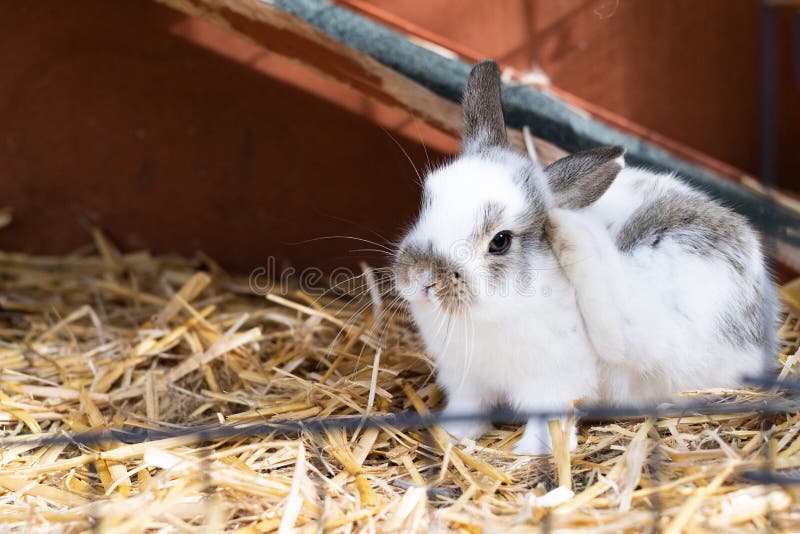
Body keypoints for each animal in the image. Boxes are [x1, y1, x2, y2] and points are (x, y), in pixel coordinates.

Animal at [392, 59, 778, 455]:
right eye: (428, 200)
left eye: (500, 241)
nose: (422, 279)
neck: (488, 315)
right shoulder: (467, 382)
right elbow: (467, 410)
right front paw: (451, 436)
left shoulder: (553, 383)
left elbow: (547, 421)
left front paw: (531, 452)